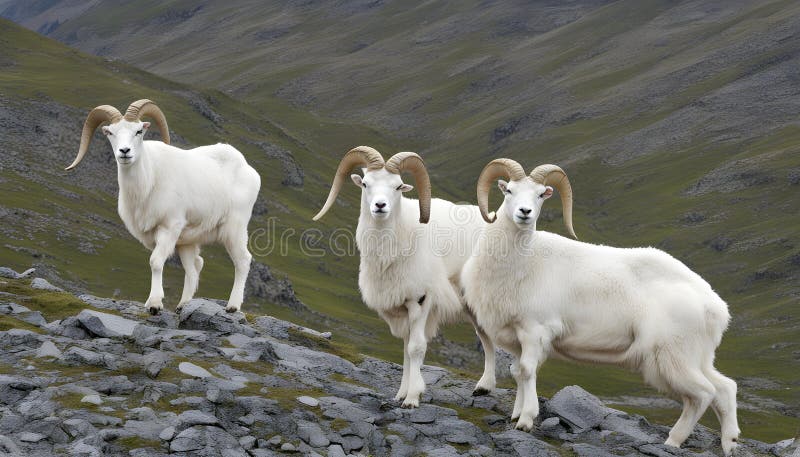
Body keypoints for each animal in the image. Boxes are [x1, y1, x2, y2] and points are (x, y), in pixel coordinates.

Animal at [65, 100, 261, 315]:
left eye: (139, 131)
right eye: (111, 133)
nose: (124, 152)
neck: (147, 184)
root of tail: (247, 168)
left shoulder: (168, 228)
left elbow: (156, 262)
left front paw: (154, 304)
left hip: (234, 229)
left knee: (243, 261)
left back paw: (233, 306)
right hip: (187, 242)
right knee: (194, 267)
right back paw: (182, 306)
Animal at [313, 146, 497, 407]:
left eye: (398, 186)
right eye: (365, 184)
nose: (380, 206)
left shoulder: (420, 300)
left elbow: (416, 348)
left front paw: (412, 399)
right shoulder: (402, 308)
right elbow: (405, 353)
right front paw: (400, 393)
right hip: (472, 305)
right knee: (487, 339)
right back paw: (484, 388)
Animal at [460, 158, 739, 455]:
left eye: (540, 195)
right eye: (509, 191)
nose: (525, 213)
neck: (523, 263)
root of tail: (716, 307)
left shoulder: (535, 331)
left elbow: (526, 371)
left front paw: (525, 421)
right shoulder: (516, 337)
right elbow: (517, 373)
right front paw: (515, 415)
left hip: (674, 357)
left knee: (703, 394)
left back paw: (673, 440)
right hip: (698, 356)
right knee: (725, 388)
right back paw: (730, 444)